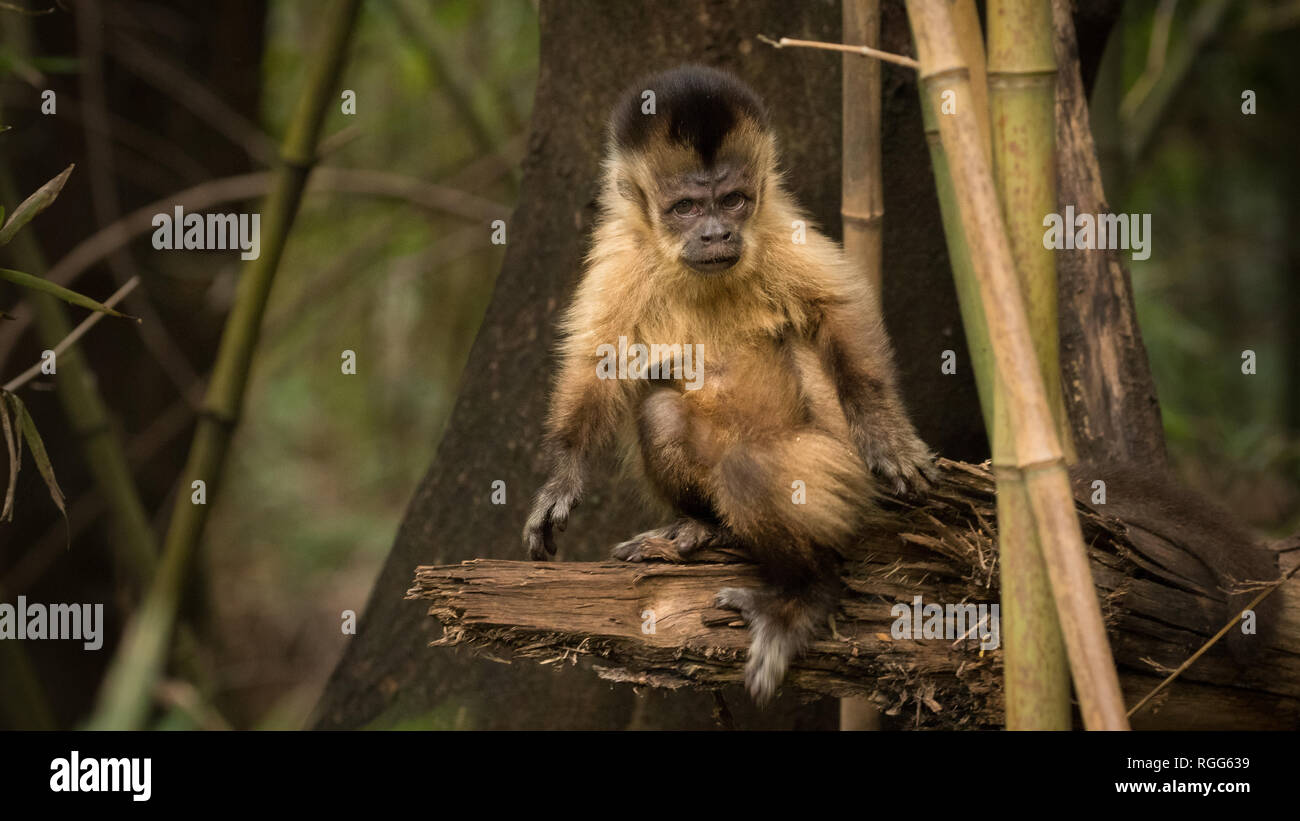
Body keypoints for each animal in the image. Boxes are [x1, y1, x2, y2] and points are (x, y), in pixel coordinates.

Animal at [522, 65, 935, 703]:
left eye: (734, 201)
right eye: (687, 207)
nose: (717, 234)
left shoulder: (779, 226)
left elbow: (840, 310)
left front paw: (887, 435)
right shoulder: (621, 252)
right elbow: (599, 359)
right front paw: (560, 481)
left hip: (838, 478)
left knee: (753, 469)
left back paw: (802, 597)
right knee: (664, 414)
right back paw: (705, 529)